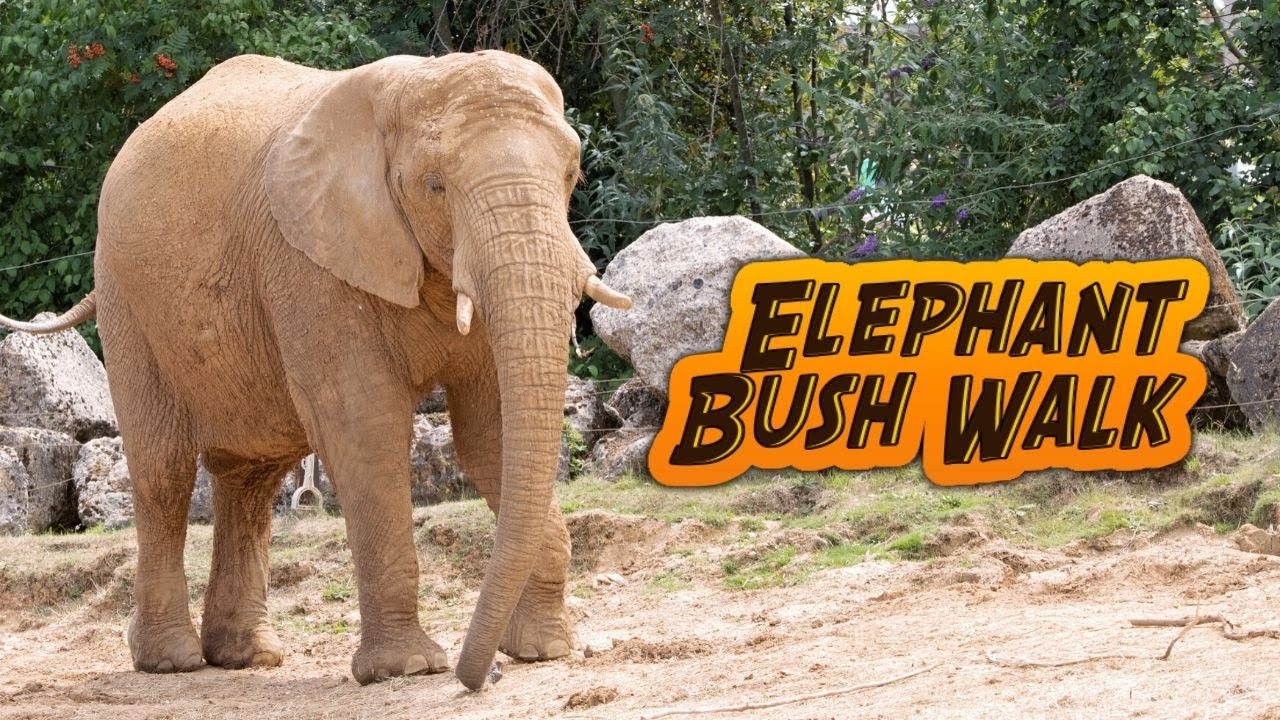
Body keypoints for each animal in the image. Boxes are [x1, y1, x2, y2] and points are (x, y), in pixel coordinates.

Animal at [0, 50, 631, 690]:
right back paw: (170, 660)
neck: (412, 86)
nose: (476, 676)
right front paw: (407, 669)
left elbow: (492, 431)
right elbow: (365, 426)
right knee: (165, 470)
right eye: (435, 184)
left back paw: (248, 656)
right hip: (127, 299)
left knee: (251, 476)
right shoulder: (310, 265)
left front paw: (545, 651)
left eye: (573, 175)